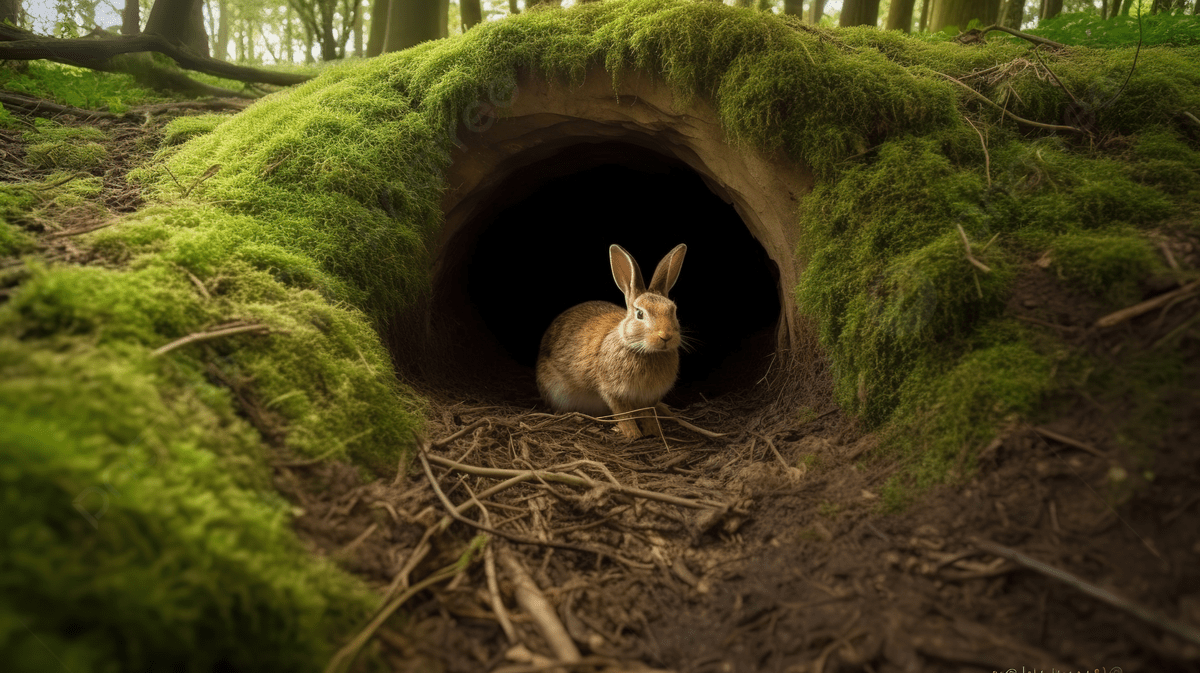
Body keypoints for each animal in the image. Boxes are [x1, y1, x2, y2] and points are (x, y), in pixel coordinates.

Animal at [536, 243, 687, 440]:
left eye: (673, 311)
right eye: (640, 314)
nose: (666, 336)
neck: (643, 350)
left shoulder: (647, 398)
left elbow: (647, 413)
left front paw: (653, 431)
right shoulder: (612, 391)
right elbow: (623, 413)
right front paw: (632, 433)